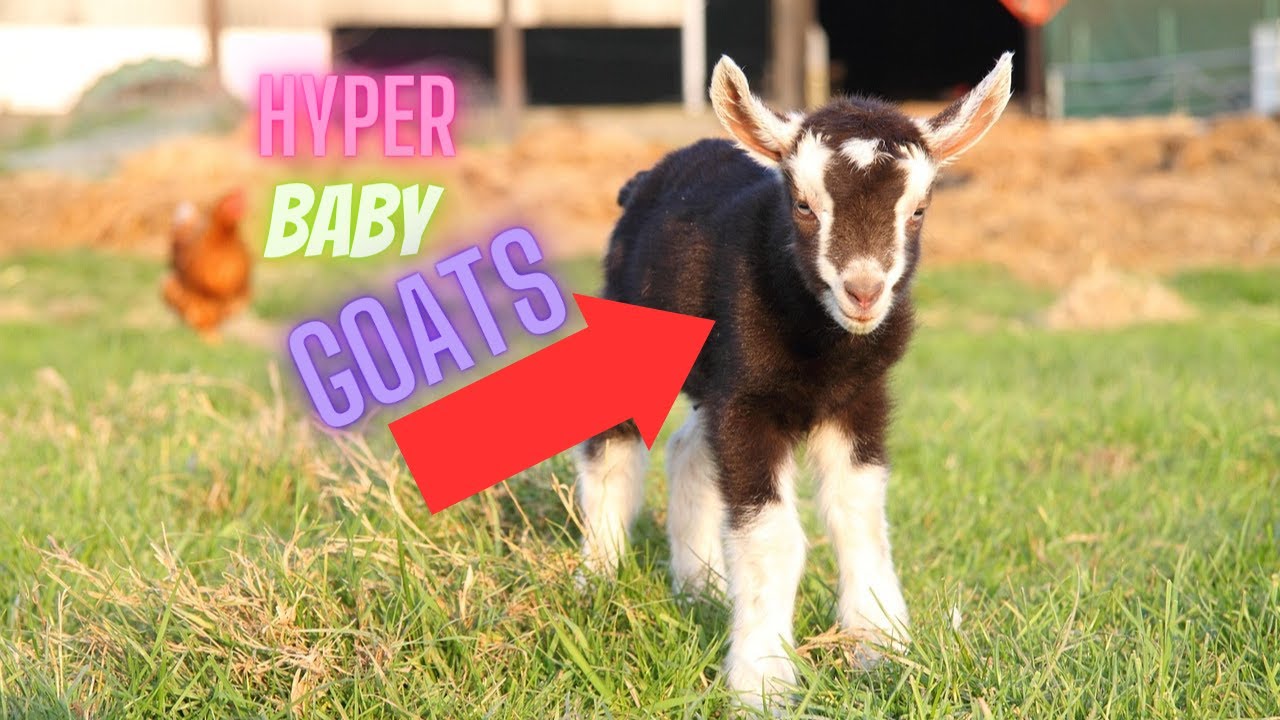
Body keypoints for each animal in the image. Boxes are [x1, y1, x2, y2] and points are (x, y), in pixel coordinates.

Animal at [573, 53, 1013, 708]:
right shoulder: (748, 402)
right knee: (615, 445)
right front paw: (763, 682)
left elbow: (860, 517)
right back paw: (596, 577)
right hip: (632, 329)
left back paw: (699, 586)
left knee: (688, 450)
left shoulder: (859, 400)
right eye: (804, 205)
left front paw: (880, 646)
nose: (863, 291)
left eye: (918, 210)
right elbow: (772, 537)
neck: (823, 353)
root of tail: (648, 177)